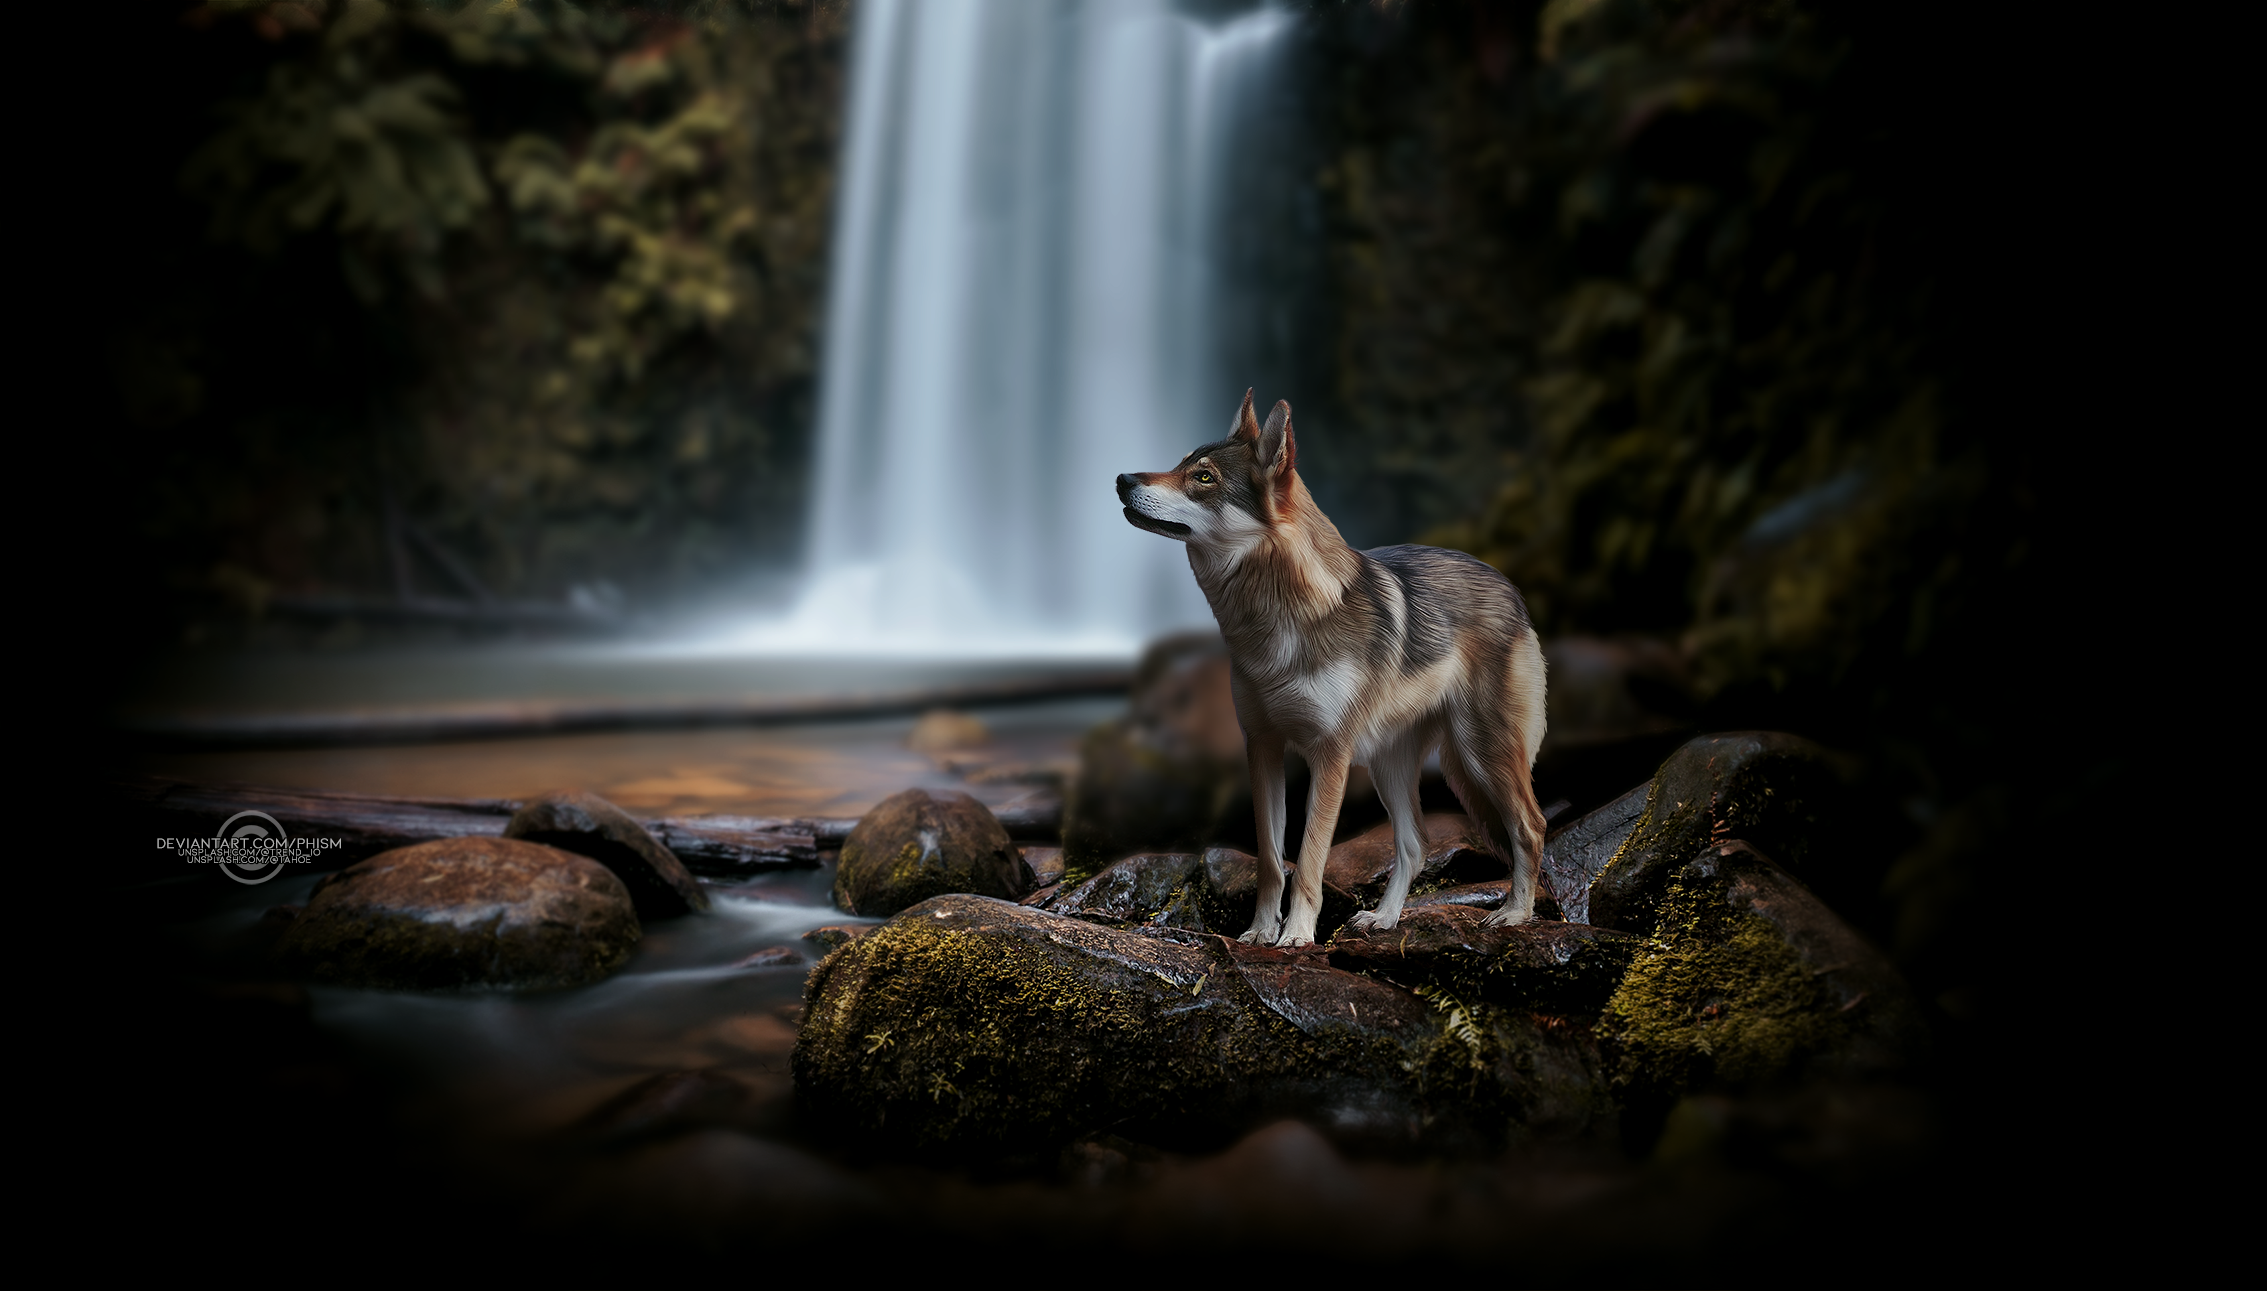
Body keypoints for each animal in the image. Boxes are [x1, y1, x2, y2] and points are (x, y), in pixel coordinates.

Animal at [1116, 390, 1548, 947]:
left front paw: (1296, 936)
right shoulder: (1262, 748)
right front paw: (1260, 933)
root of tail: (1510, 587)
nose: (1122, 479)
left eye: (1204, 477)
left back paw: (1515, 913)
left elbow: (1310, 860)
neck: (1272, 622)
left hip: (1480, 754)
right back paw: (1383, 919)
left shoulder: (1331, 755)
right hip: (1395, 766)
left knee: (1530, 827)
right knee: (1416, 844)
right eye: (1180, 464)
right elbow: (1272, 861)